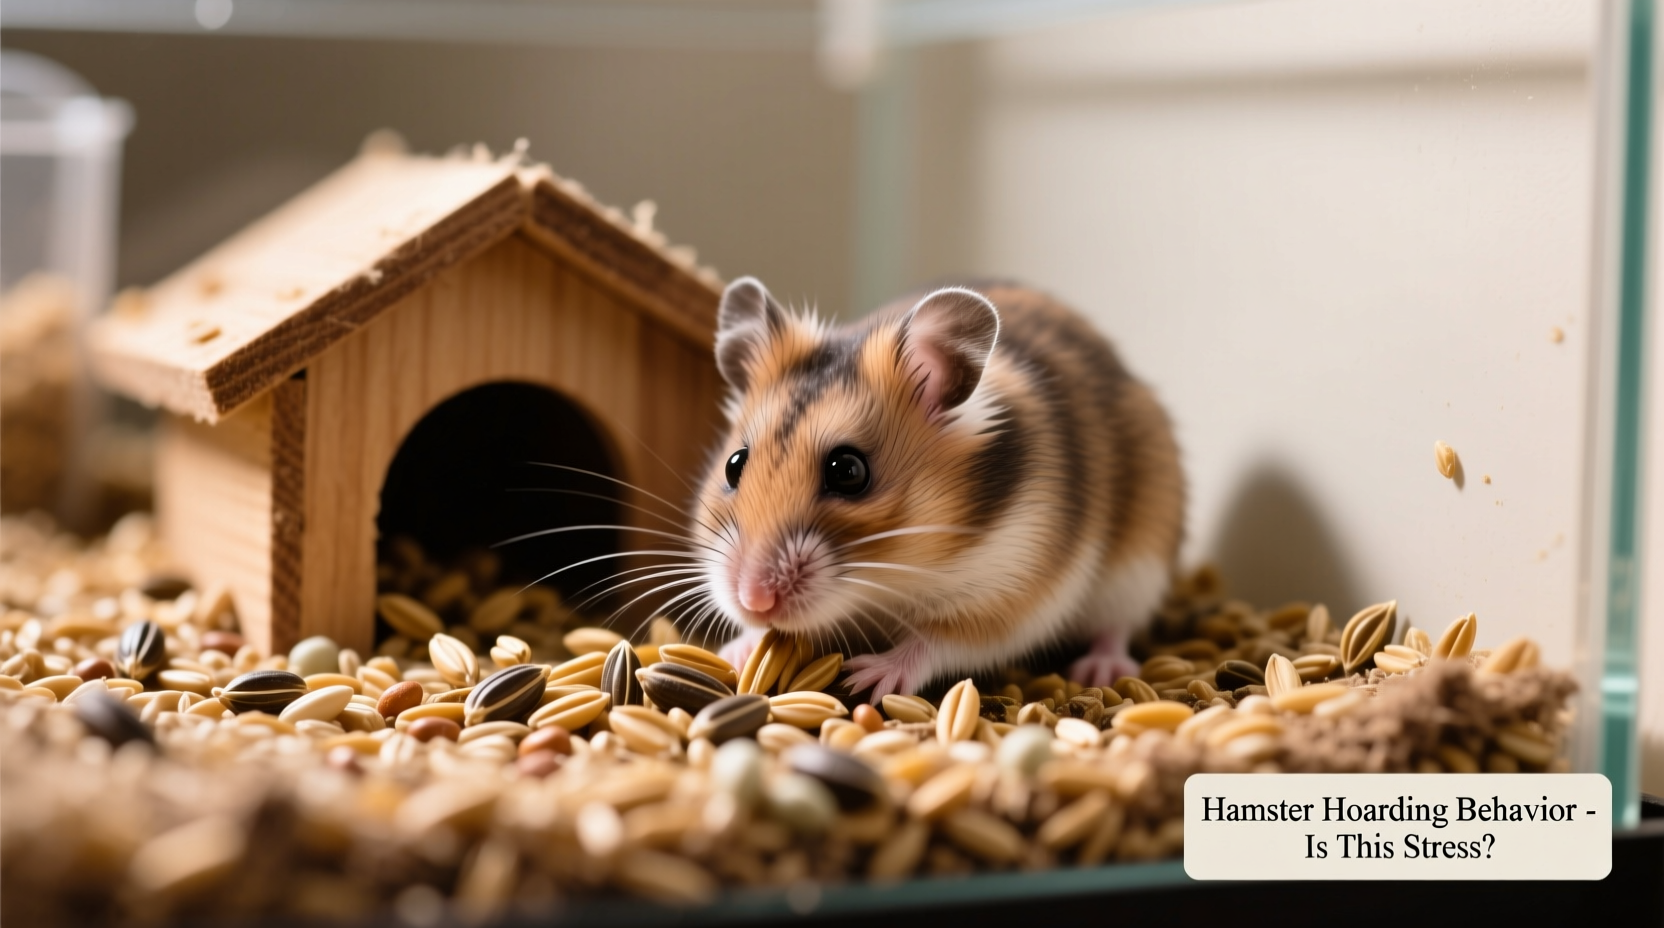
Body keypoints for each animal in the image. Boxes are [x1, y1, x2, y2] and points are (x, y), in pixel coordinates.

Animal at [689, 276, 1185, 700]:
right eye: (734, 465)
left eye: (848, 471)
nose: (754, 601)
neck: (888, 580)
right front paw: (737, 652)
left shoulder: (1013, 590)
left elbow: (939, 641)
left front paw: (867, 678)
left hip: (1139, 565)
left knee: (1117, 626)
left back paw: (1099, 669)